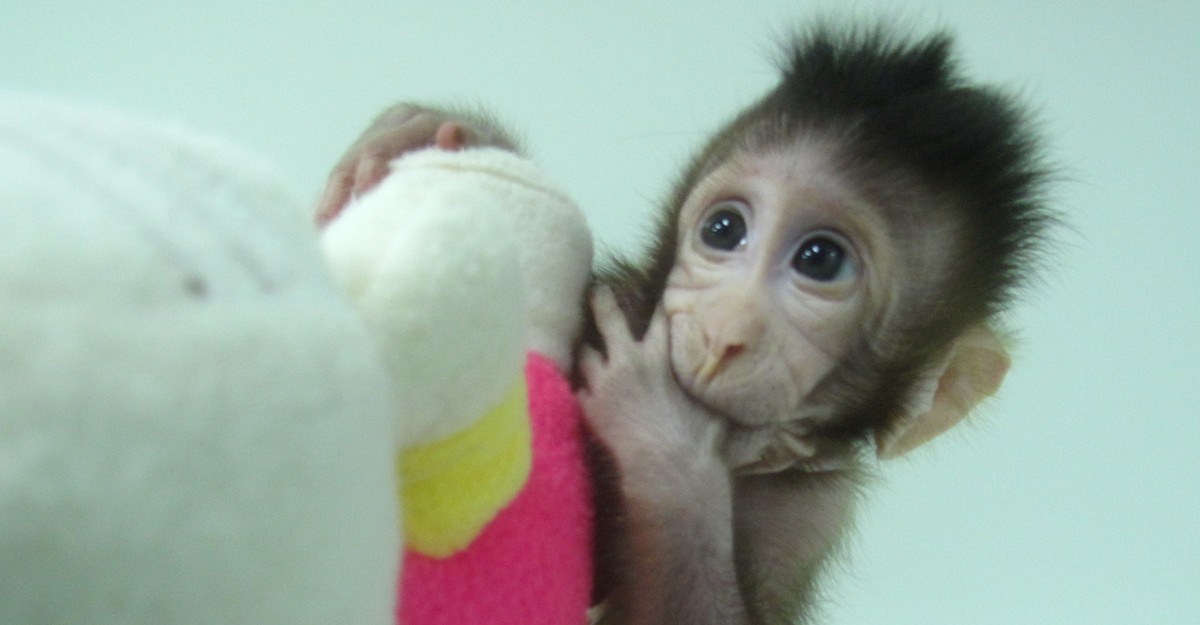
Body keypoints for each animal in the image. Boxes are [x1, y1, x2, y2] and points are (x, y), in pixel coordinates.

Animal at [315, 21, 1052, 625]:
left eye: (820, 260)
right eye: (723, 230)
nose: (725, 332)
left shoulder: (813, 506)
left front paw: (663, 437)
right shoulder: (617, 299)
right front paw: (429, 129)